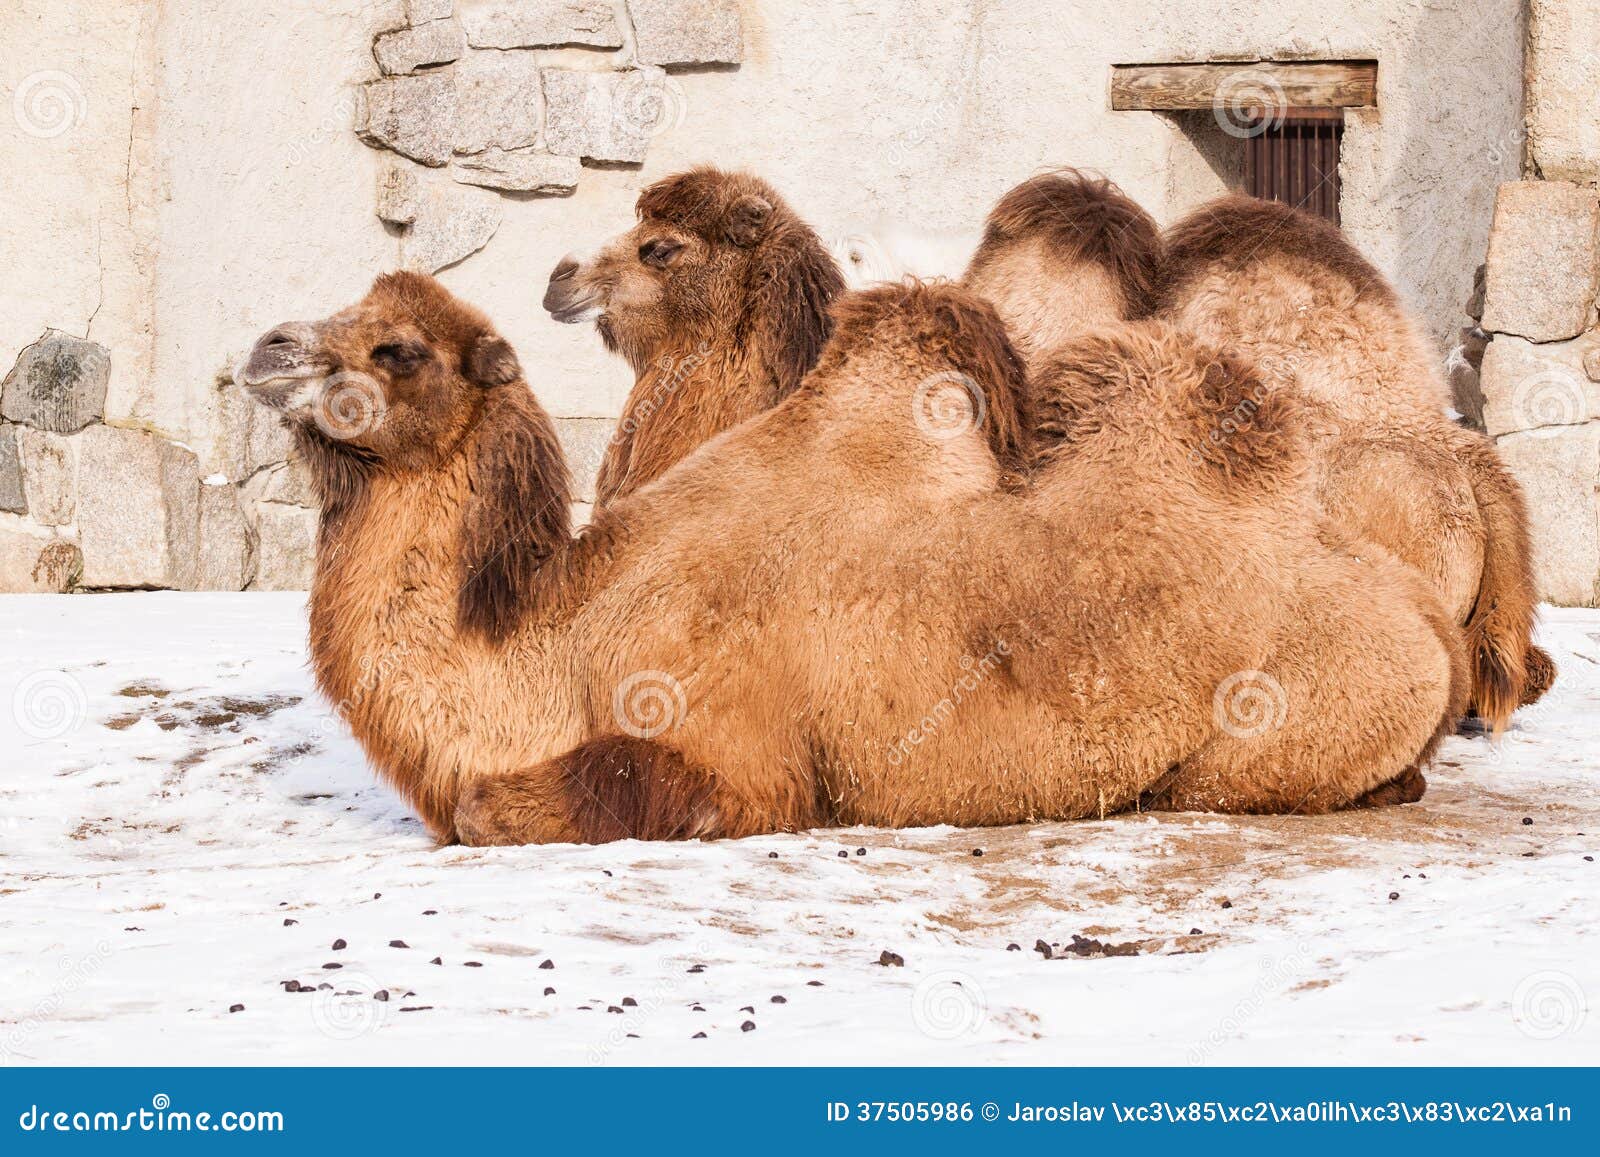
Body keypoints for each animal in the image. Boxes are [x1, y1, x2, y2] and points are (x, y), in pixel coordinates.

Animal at [236, 271, 1462, 846]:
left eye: (399, 347)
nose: (268, 346)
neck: (561, 634)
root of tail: (1429, 616)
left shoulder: (730, 751)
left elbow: (494, 808)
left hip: (1280, 725)